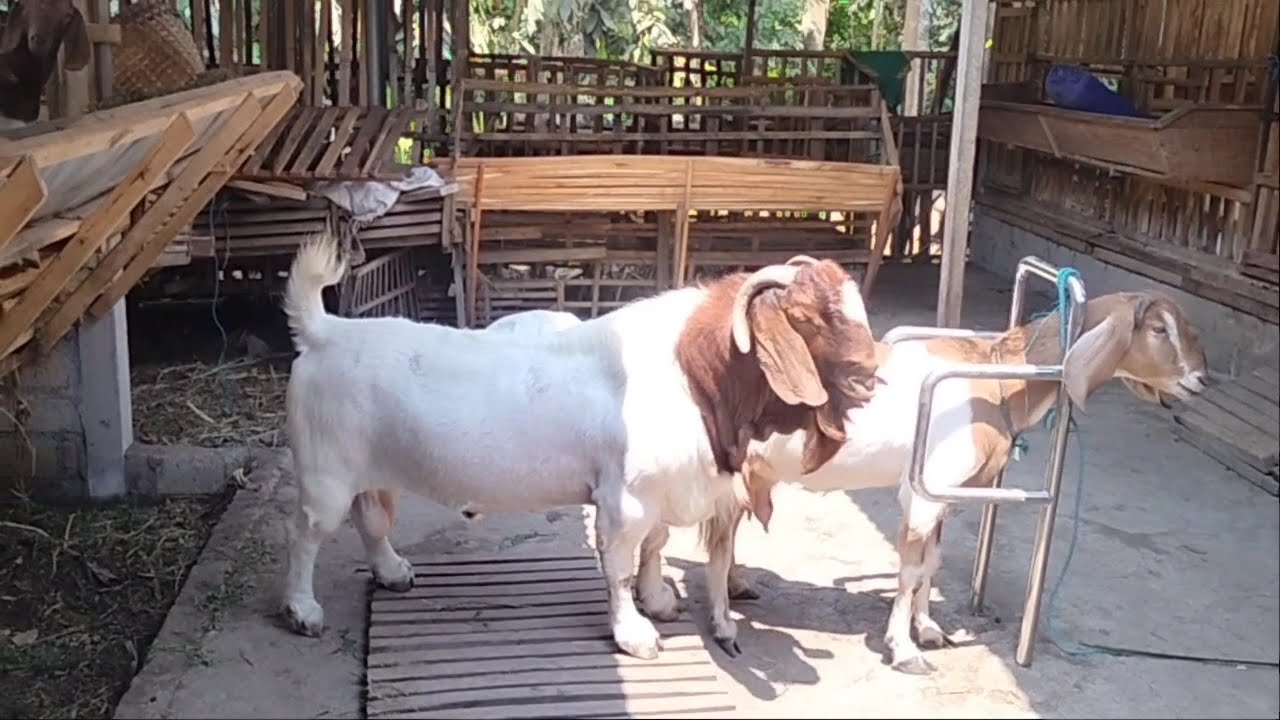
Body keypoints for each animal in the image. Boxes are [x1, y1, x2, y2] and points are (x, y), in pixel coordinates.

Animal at [279, 236, 880, 659]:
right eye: (804, 318)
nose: (871, 373)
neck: (689, 374)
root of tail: (326, 331)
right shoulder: (625, 499)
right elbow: (618, 565)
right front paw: (634, 634)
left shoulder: (658, 492)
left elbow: (656, 545)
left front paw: (659, 601)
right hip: (325, 473)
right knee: (307, 534)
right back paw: (303, 610)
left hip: (372, 469)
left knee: (371, 519)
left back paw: (392, 571)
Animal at [698, 291, 1209, 670]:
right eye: (1159, 329)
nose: (1201, 380)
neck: (997, 380)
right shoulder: (922, 496)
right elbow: (908, 570)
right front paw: (903, 649)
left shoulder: (943, 493)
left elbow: (933, 563)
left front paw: (928, 630)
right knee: (713, 546)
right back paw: (722, 624)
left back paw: (737, 589)